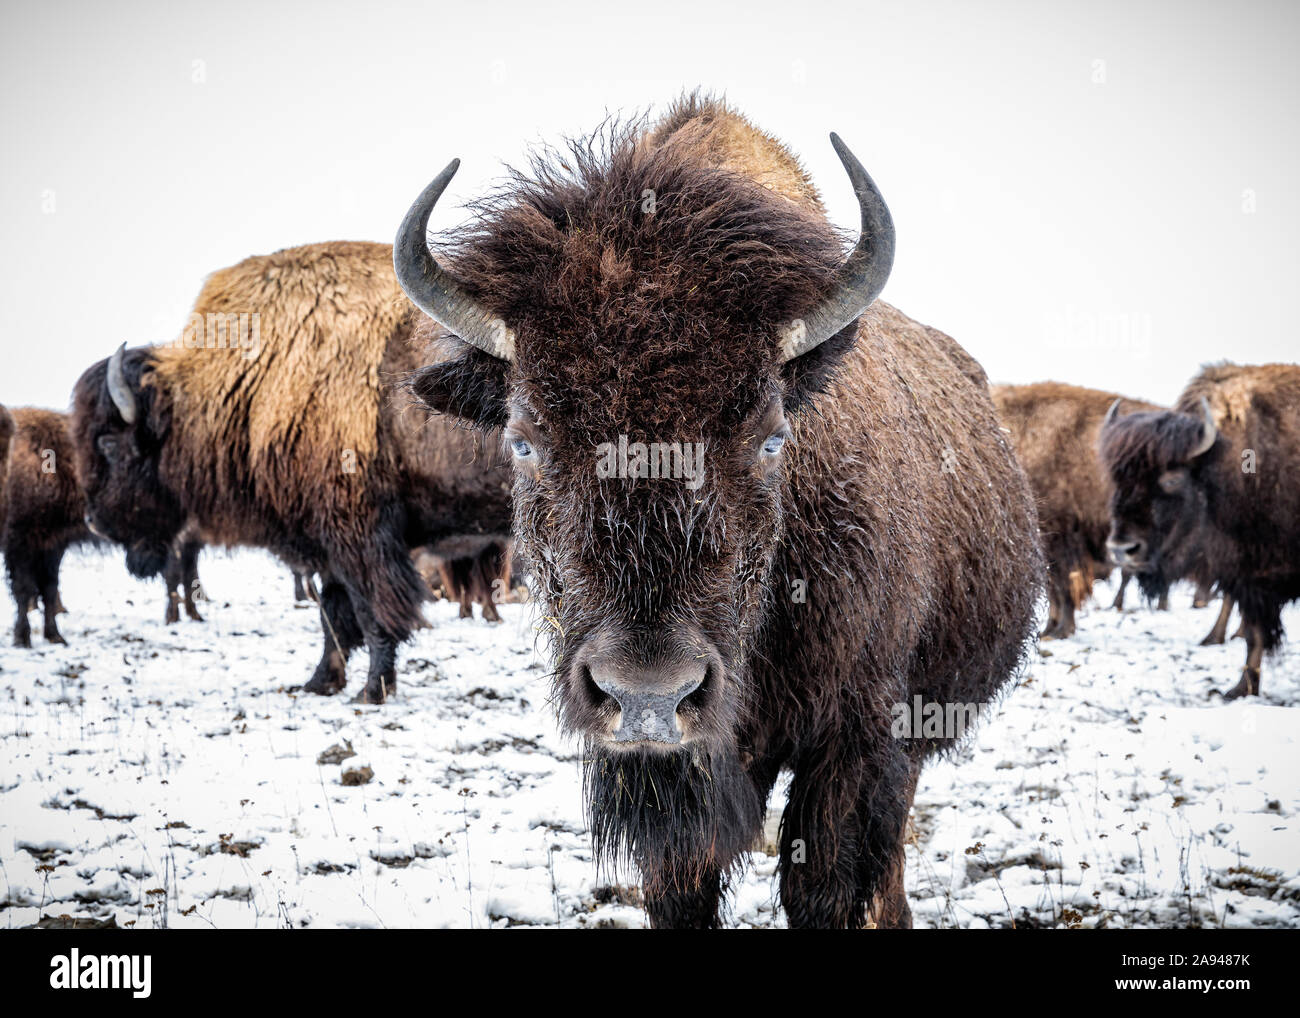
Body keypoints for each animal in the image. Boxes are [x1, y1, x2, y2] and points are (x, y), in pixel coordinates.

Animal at [395, 96, 1043, 926]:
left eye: (771, 436)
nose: (648, 694)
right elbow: (683, 882)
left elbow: (824, 885)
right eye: (522, 438)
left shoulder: (860, 737)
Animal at [1100, 363, 1300, 698]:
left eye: (1171, 478)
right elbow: (1254, 635)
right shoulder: (1247, 578)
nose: (1122, 550)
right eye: (1116, 478)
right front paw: (1240, 689)